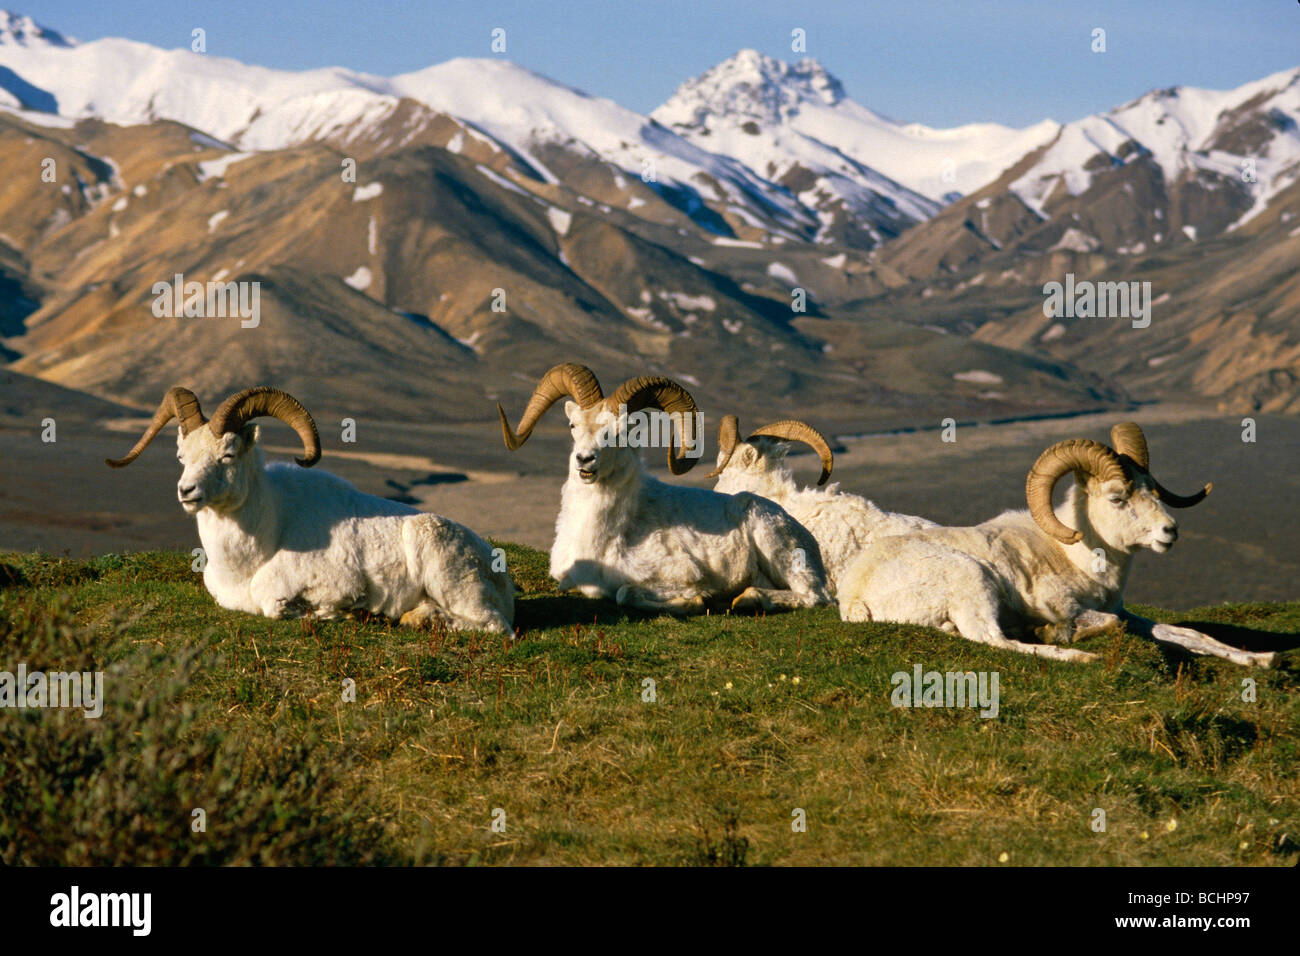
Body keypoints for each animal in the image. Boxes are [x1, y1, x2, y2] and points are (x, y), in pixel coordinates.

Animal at [105, 385, 513, 634]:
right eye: (181, 456)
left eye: (228, 454)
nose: (186, 491)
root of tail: (496, 567)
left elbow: (274, 603)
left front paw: (348, 612)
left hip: (445, 570)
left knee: (496, 627)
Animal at [497, 363, 832, 615]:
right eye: (573, 425)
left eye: (621, 431)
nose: (585, 460)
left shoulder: (677, 575)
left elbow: (625, 593)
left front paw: (702, 599)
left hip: (777, 550)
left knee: (814, 596)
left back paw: (747, 598)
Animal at [837, 423, 1274, 667]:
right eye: (1117, 498)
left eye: (1152, 490)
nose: (1170, 531)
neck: (1078, 559)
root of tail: (856, 596)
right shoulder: (1072, 608)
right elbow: (1109, 625)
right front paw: (1051, 632)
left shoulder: (1125, 612)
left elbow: (1188, 636)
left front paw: (1262, 660)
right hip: (973, 581)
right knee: (995, 641)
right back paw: (1080, 656)